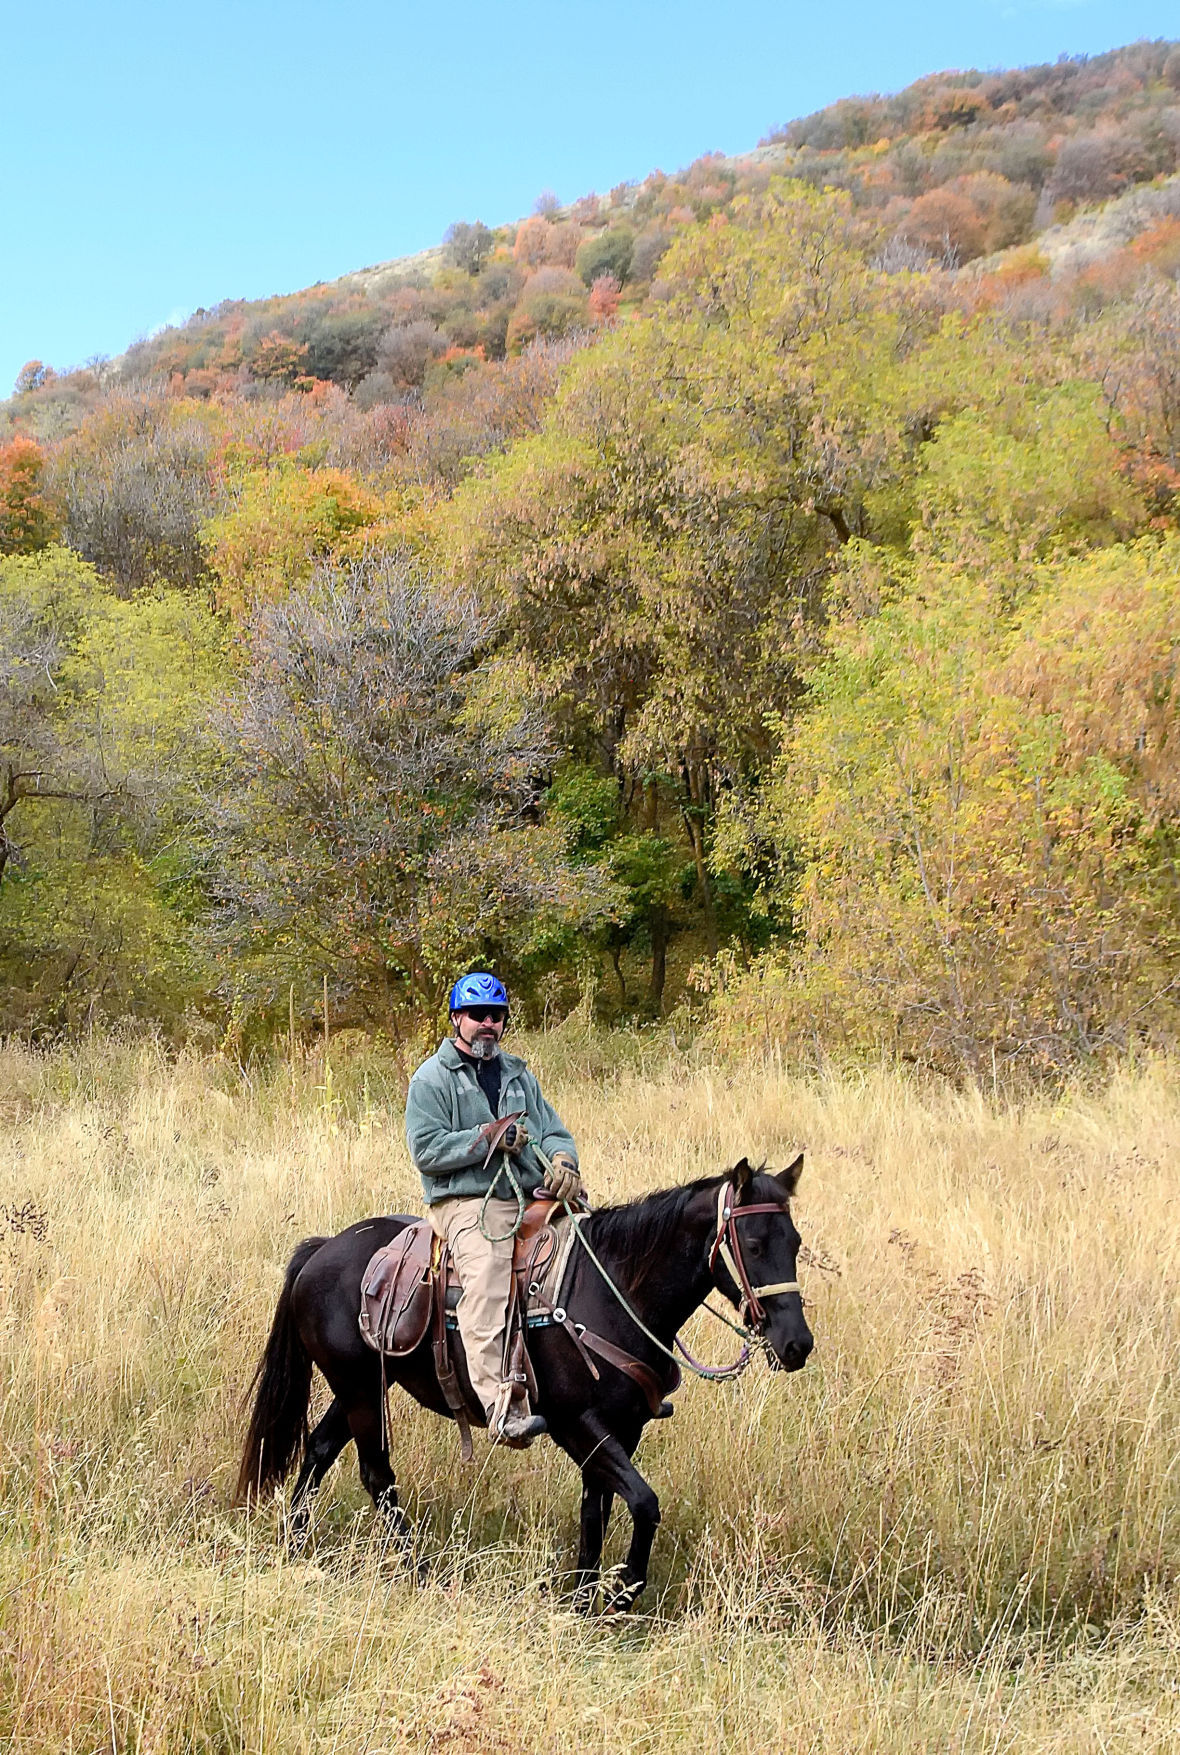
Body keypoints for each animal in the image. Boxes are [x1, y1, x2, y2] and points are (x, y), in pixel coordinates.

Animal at [236, 1155, 814, 1611]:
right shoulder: (575, 1423)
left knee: (318, 1450)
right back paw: (421, 1573)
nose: (797, 1344)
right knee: (376, 1474)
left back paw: (296, 1549)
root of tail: (322, 1250)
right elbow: (644, 1503)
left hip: (360, 1388)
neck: (610, 1290)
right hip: (359, 1391)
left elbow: (598, 1510)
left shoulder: (621, 1431)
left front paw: (582, 1603)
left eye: (796, 1242)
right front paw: (624, 1591)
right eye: (753, 1244)